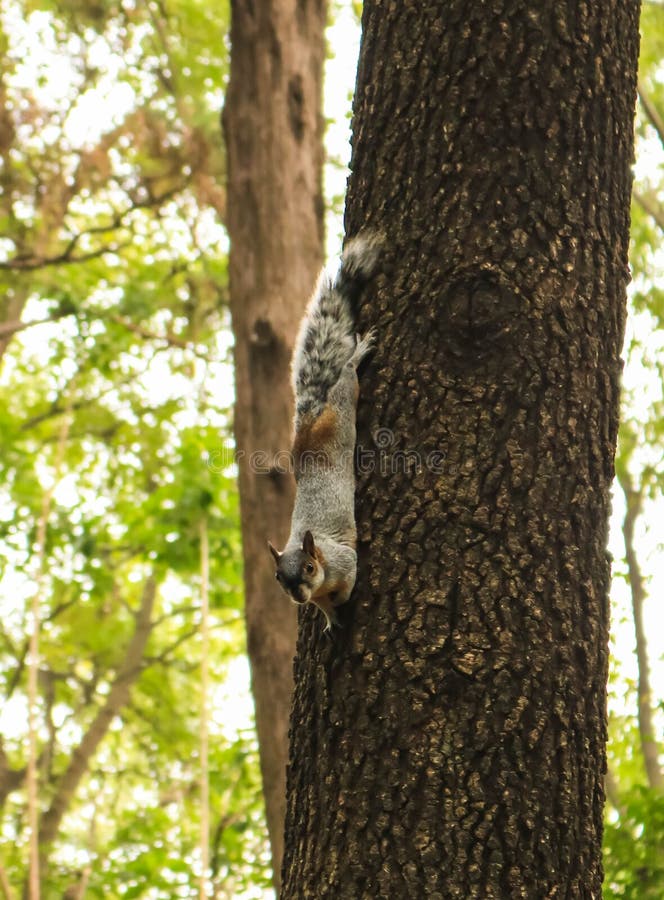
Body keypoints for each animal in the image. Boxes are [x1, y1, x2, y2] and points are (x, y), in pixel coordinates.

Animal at [268, 233, 381, 632]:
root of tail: (310, 423)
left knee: (346, 379)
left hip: (343, 411)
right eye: (278, 578)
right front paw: (331, 618)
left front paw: (342, 602)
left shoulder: (344, 559)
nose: (298, 595)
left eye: (309, 567)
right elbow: (323, 607)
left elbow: (349, 581)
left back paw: (357, 355)